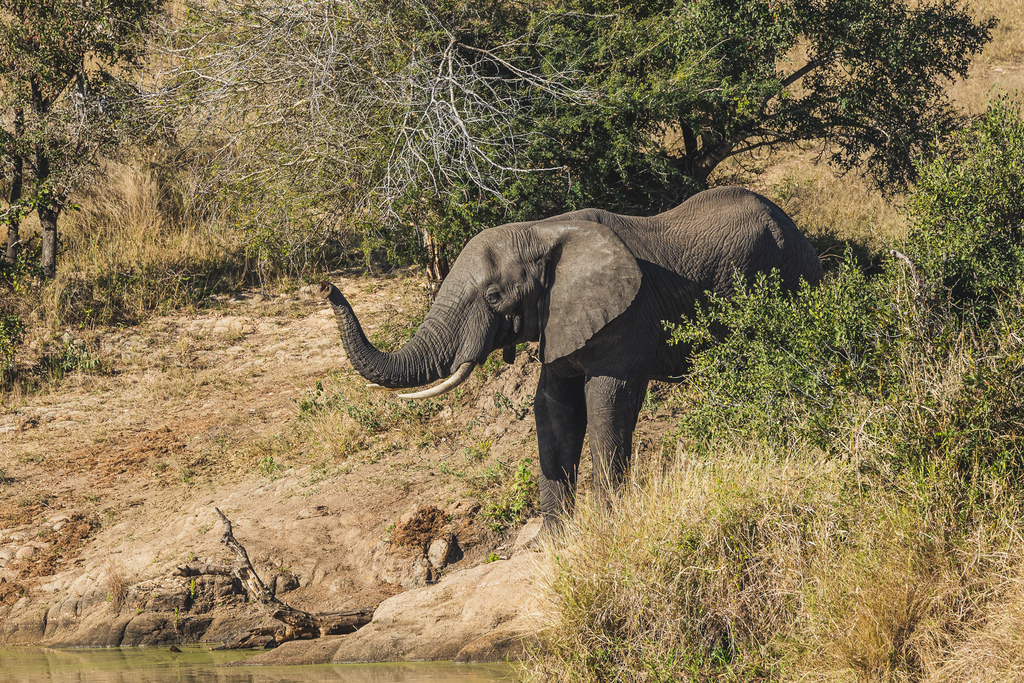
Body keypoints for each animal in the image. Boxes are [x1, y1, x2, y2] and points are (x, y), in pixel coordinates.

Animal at [319, 186, 823, 530]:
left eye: (494, 296)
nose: (326, 286)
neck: (544, 230)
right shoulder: (559, 320)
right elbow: (553, 409)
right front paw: (556, 540)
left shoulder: (627, 317)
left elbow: (605, 404)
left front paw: (609, 525)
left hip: (793, 276)